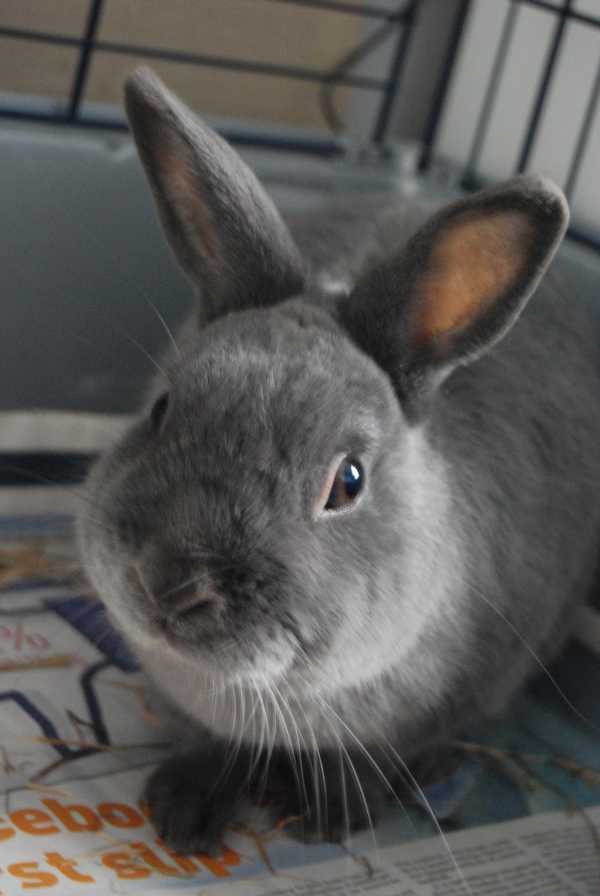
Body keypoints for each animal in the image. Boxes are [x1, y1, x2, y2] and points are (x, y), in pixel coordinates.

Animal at [78, 66, 600, 855]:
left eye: (347, 482)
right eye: (163, 408)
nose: (171, 584)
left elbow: (373, 752)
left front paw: (335, 818)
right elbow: (210, 742)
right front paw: (183, 816)